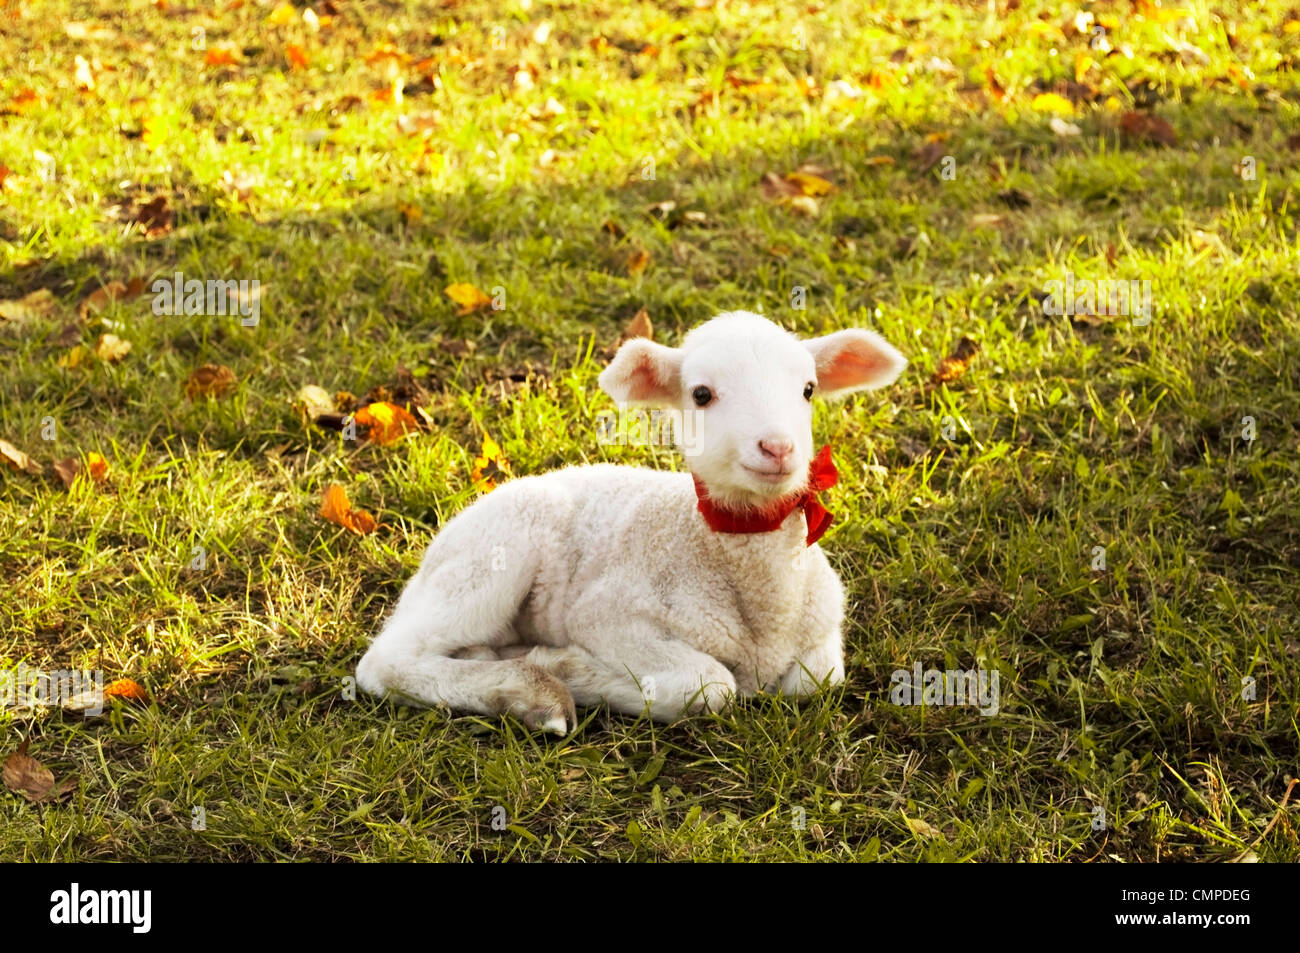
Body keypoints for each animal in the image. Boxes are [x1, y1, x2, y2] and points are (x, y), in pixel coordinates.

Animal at [355, 311, 907, 733]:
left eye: (809, 389)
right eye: (701, 394)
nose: (777, 448)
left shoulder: (822, 633)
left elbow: (817, 679)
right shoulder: (608, 616)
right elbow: (708, 686)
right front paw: (567, 667)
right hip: (490, 557)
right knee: (384, 663)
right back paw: (531, 692)